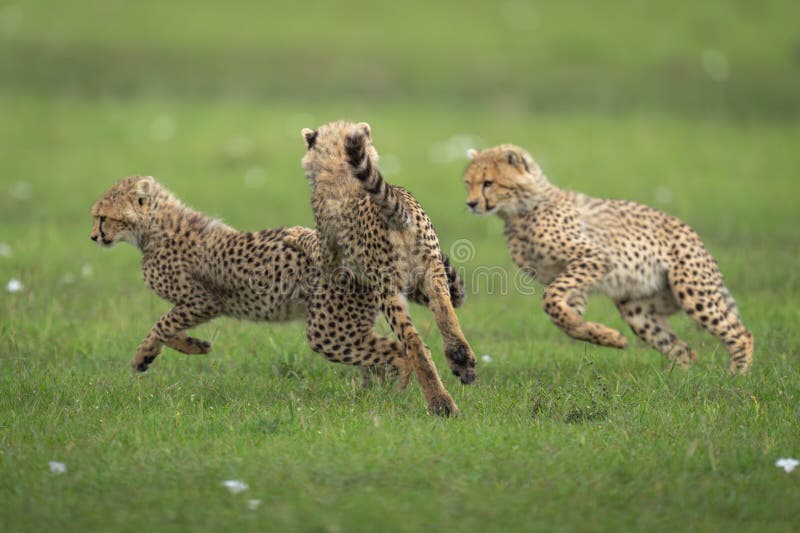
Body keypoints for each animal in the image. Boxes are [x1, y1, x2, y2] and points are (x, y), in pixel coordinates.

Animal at [90, 176, 466, 388]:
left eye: (102, 217)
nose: (93, 237)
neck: (154, 227)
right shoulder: (199, 305)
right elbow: (170, 327)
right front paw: (194, 345)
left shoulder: (203, 300)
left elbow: (161, 324)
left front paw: (143, 356)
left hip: (328, 331)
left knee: (402, 349)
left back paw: (399, 386)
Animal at [286, 120, 477, 416]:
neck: (340, 165)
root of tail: (399, 206)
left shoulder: (329, 257)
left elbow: (310, 240)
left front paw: (295, 233)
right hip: (431, 272)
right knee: (445, 311)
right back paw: (461, 358)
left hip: (387, 291)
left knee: (414, 343)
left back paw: (440, 403)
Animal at [463, 144, 753, 373]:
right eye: (468, 183)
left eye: (488, 183)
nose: (471, 204)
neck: (520, 212)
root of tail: (692, 233)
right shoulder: (569, 278)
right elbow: (563, 317)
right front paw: (604, 335)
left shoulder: (595, 257)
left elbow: (550, 300)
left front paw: (592, 330)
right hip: (638, 312)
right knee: (685, 351)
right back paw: (680, 379)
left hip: (692, 292)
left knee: (741, 334)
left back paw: (737, 376)